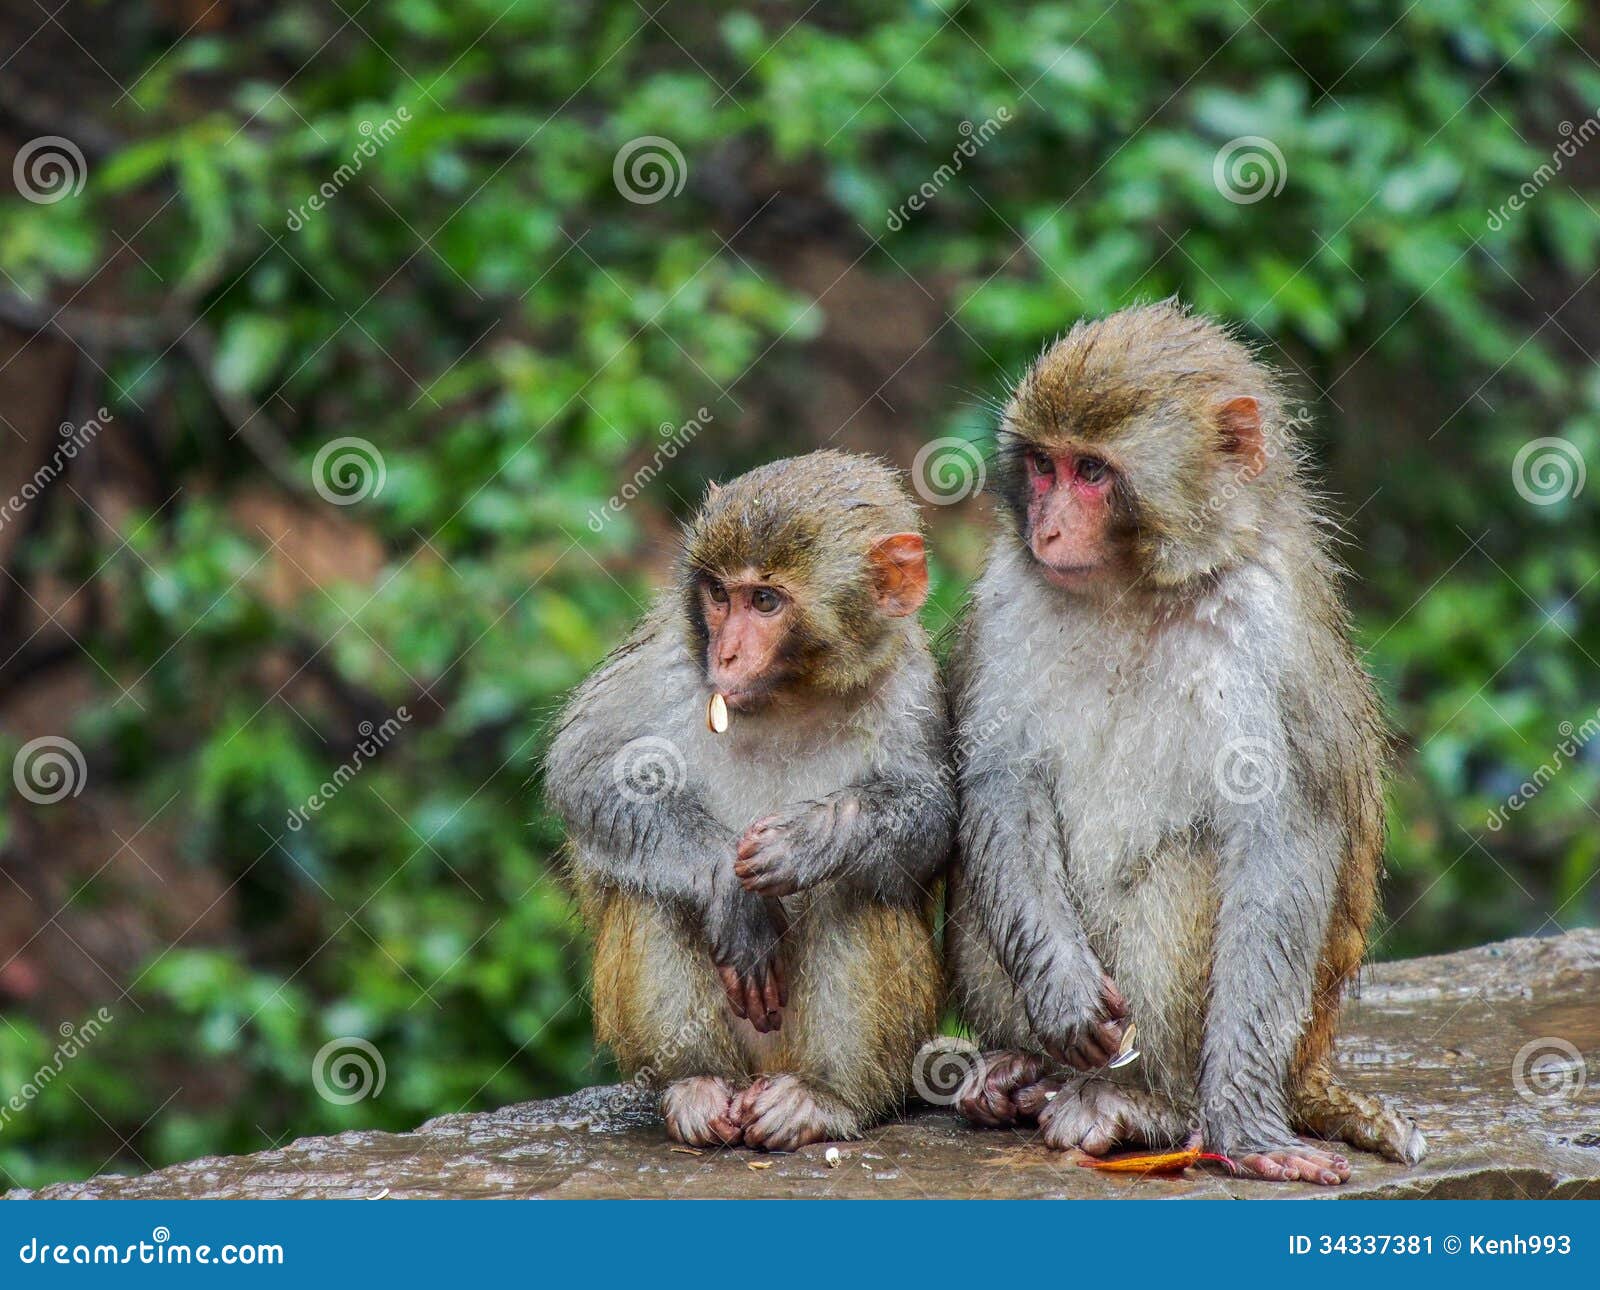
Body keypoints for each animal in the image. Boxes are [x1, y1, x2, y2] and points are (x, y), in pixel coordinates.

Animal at [544, 450, 951, 1152]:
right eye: (718, 595)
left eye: (765, 600)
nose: (727, 654)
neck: (791, 694)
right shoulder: (670, 659)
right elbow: (584, 771)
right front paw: (728, 892)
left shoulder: (913, 684)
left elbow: (935, 814)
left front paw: (814, 841)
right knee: (650, 890)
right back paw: (696, 1084)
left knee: (857, 890)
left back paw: (824, 1097)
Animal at [945, 300, 1425, 1184]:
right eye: (1044, 467)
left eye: (1093, 473)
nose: (1049, 530)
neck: (1135, 591)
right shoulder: (1004, 596)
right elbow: (1000, 783)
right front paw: (1061, 988)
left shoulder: (1269, 634)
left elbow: (1279, 845)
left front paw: (1244, 1123)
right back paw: (1023, 1071)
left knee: (1178, 872)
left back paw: (1153, 1107)